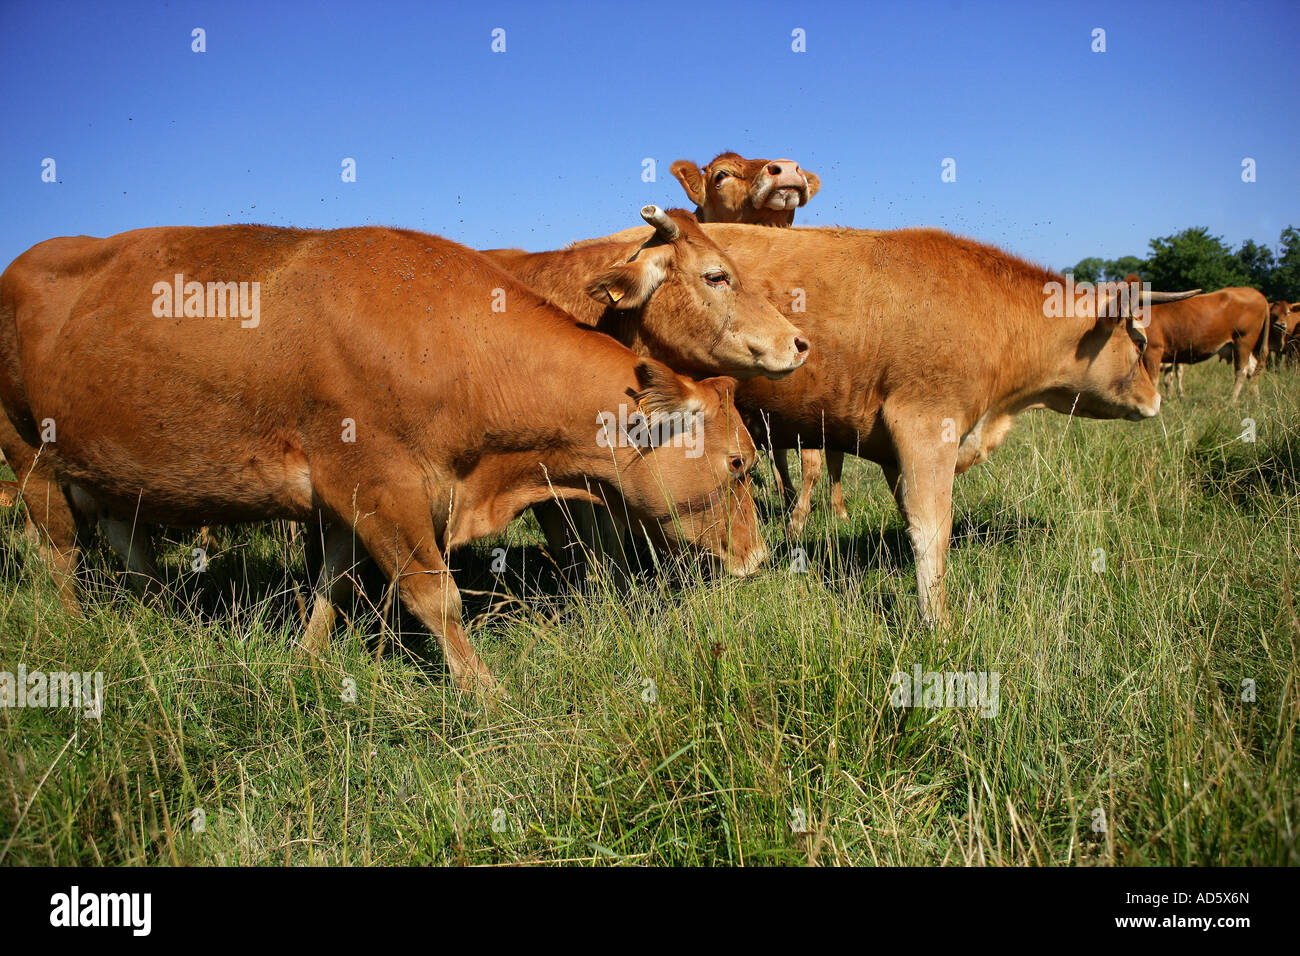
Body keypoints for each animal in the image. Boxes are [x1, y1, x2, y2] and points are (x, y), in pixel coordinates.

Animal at [0, 224, 767, 692]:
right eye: (738, 464)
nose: (758, 557)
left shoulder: (348, 498)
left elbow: (333, 587)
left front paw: (304, 663)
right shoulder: (382, 489)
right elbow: (436, 598)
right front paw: (486, 696)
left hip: (109, 480)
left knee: (132, 554)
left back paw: (160, 619)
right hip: (31, 461)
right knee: (60, 558)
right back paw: (77, 636)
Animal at [1137, 283, 1270, 400]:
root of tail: (1259, 295)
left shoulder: (1152, 352)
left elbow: (1153, 382)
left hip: (1243, 342)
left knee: (1241, 372)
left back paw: (1231, 402)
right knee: (1252, 370)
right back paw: (1256, 399)